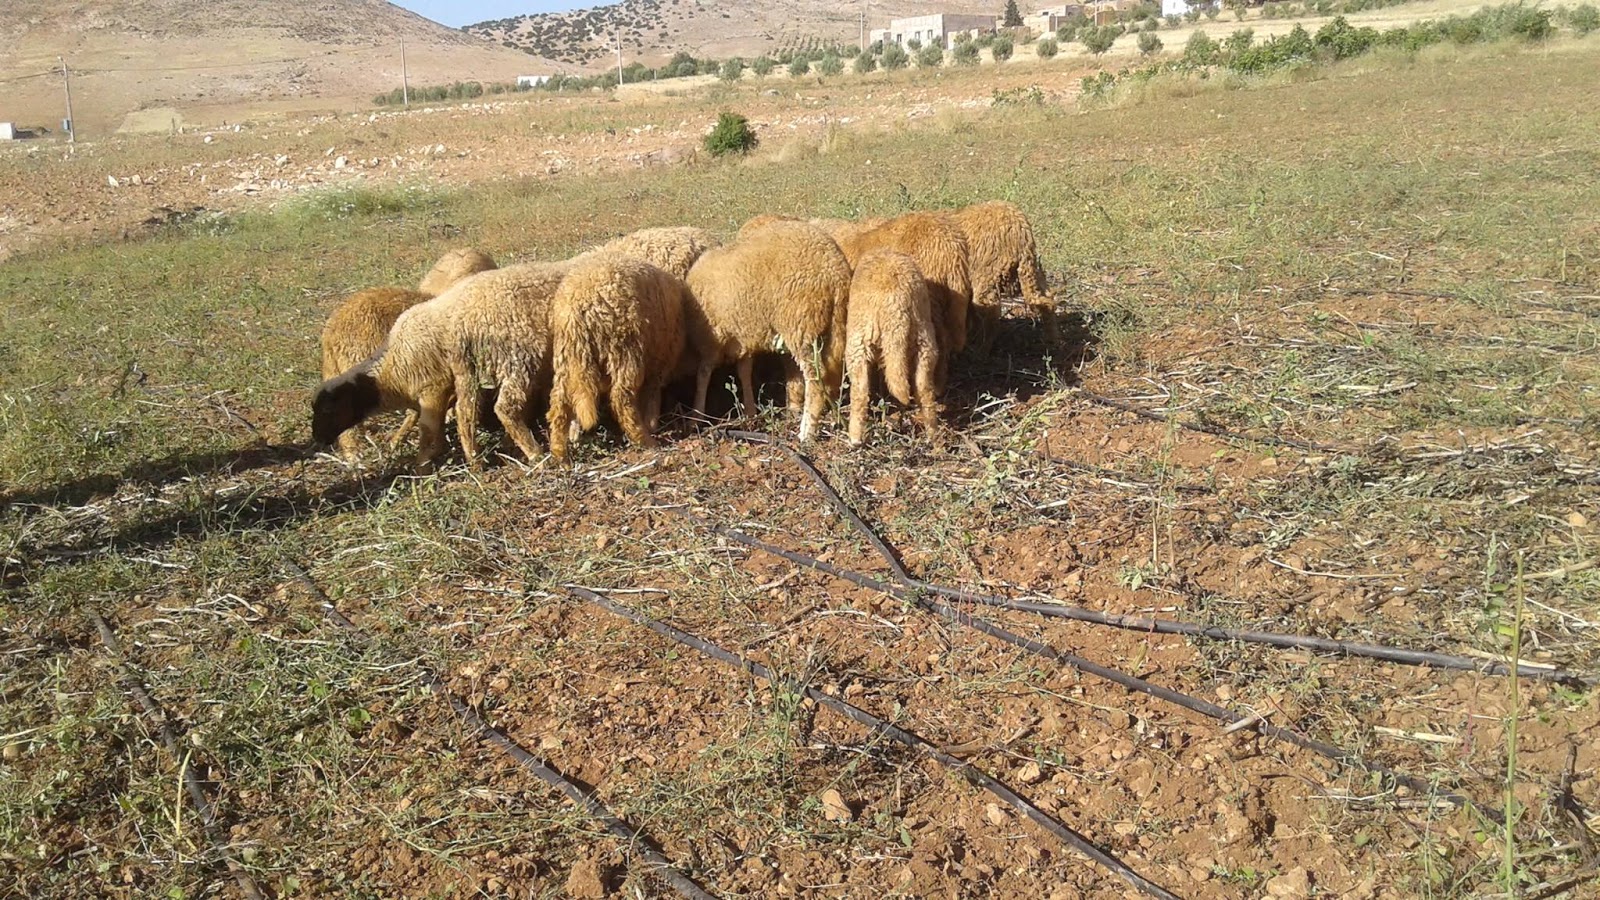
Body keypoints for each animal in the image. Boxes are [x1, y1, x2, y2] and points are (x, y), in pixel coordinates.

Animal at [546, 252, 688, 462]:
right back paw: (644, 440)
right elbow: (652, 396)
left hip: (567, 355)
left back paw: (560, 454)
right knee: (622, 400)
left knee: (558, 402)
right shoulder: (659, 361)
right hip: (625, 350)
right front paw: (652, 424)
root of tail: (578, 308)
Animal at [683, 220, 851, 442]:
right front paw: (750, 411)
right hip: (835, 323)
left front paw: (696, 416)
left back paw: (806, 431)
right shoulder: (742, 338)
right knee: (834, 370)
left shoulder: (711, 339)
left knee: (816, 377)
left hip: (799, 322)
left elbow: (703, 375)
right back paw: (831, 416)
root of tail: (834, 270)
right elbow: (744, 371)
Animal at [844, 250, 943, 445]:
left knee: (860, 392)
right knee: (924, 389)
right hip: (925, 342)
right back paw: (933, 436)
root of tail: (896, 308)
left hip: (857, 344)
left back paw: (855, 438)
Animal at [949, 201, 1054, 352]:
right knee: (1046, 300)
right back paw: (1052, 341)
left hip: (988, 273)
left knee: (990, 310)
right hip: (1029, 271)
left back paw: (982, 348)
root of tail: (1020, 231)